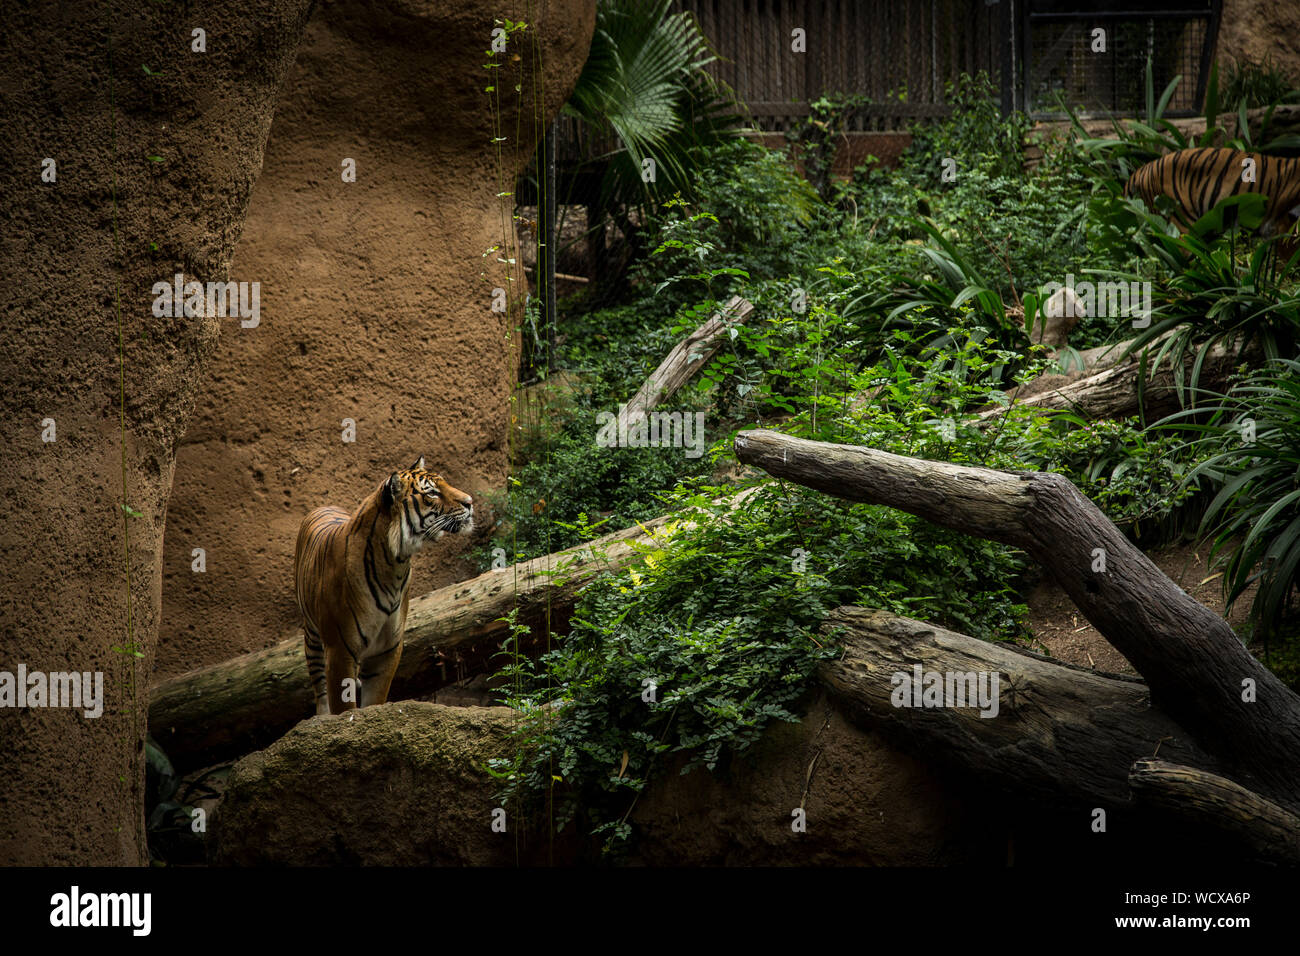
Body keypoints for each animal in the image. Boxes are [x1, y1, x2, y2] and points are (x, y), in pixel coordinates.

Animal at [294, 458, 474, 716]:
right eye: (432, 492)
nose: (470, 502)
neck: (395, 564)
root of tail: (324, 506)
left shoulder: (387, 650)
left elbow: (374, 701)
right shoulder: (339, 649)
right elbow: (343, 707)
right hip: (312, 636)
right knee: (320, 689)